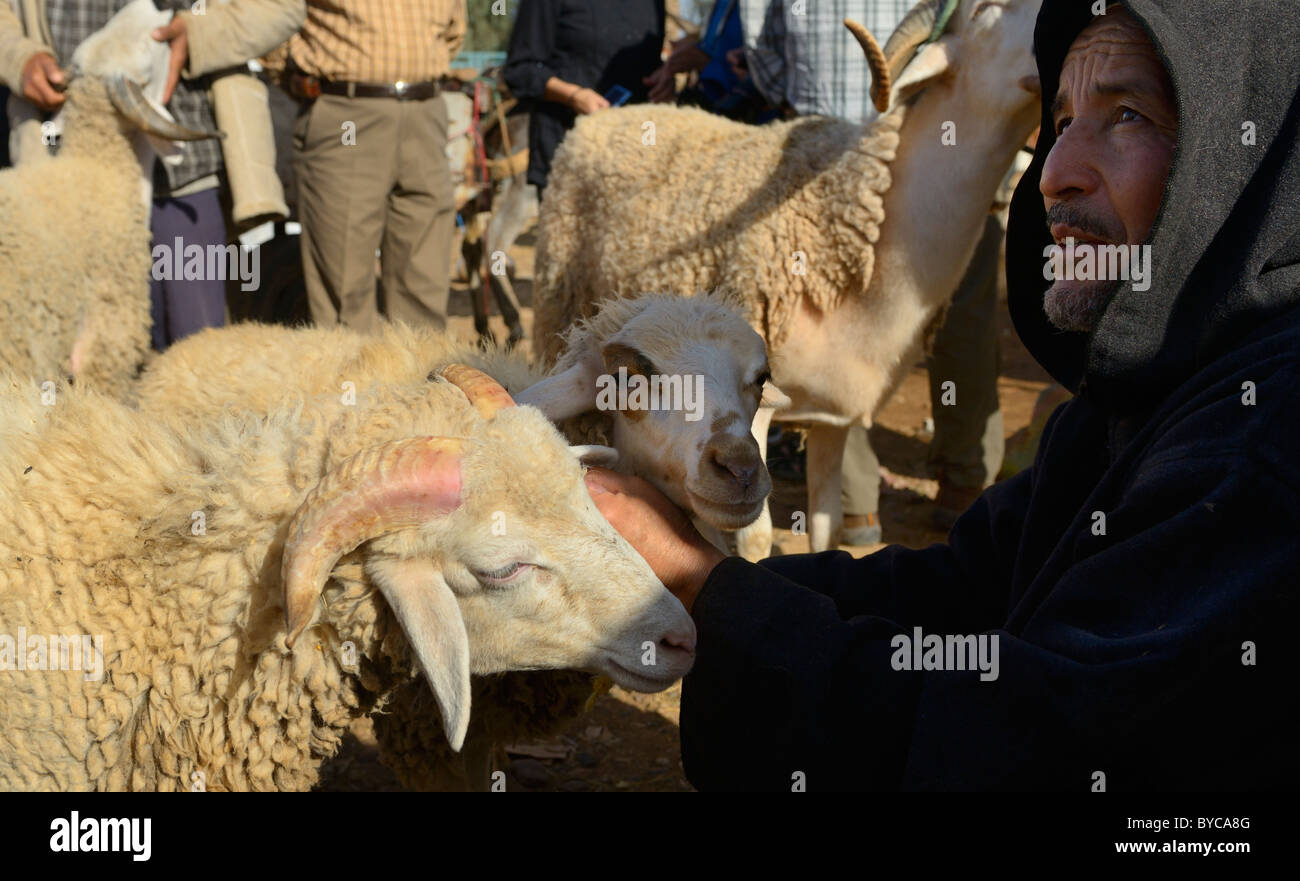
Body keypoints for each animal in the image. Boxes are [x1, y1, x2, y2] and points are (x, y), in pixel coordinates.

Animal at [531, 0, 1044, 556]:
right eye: (990, 11)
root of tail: (607, 113)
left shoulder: (834, 417)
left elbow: (827, 527)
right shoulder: (757, 413)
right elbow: (754, 539)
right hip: (560, 299)